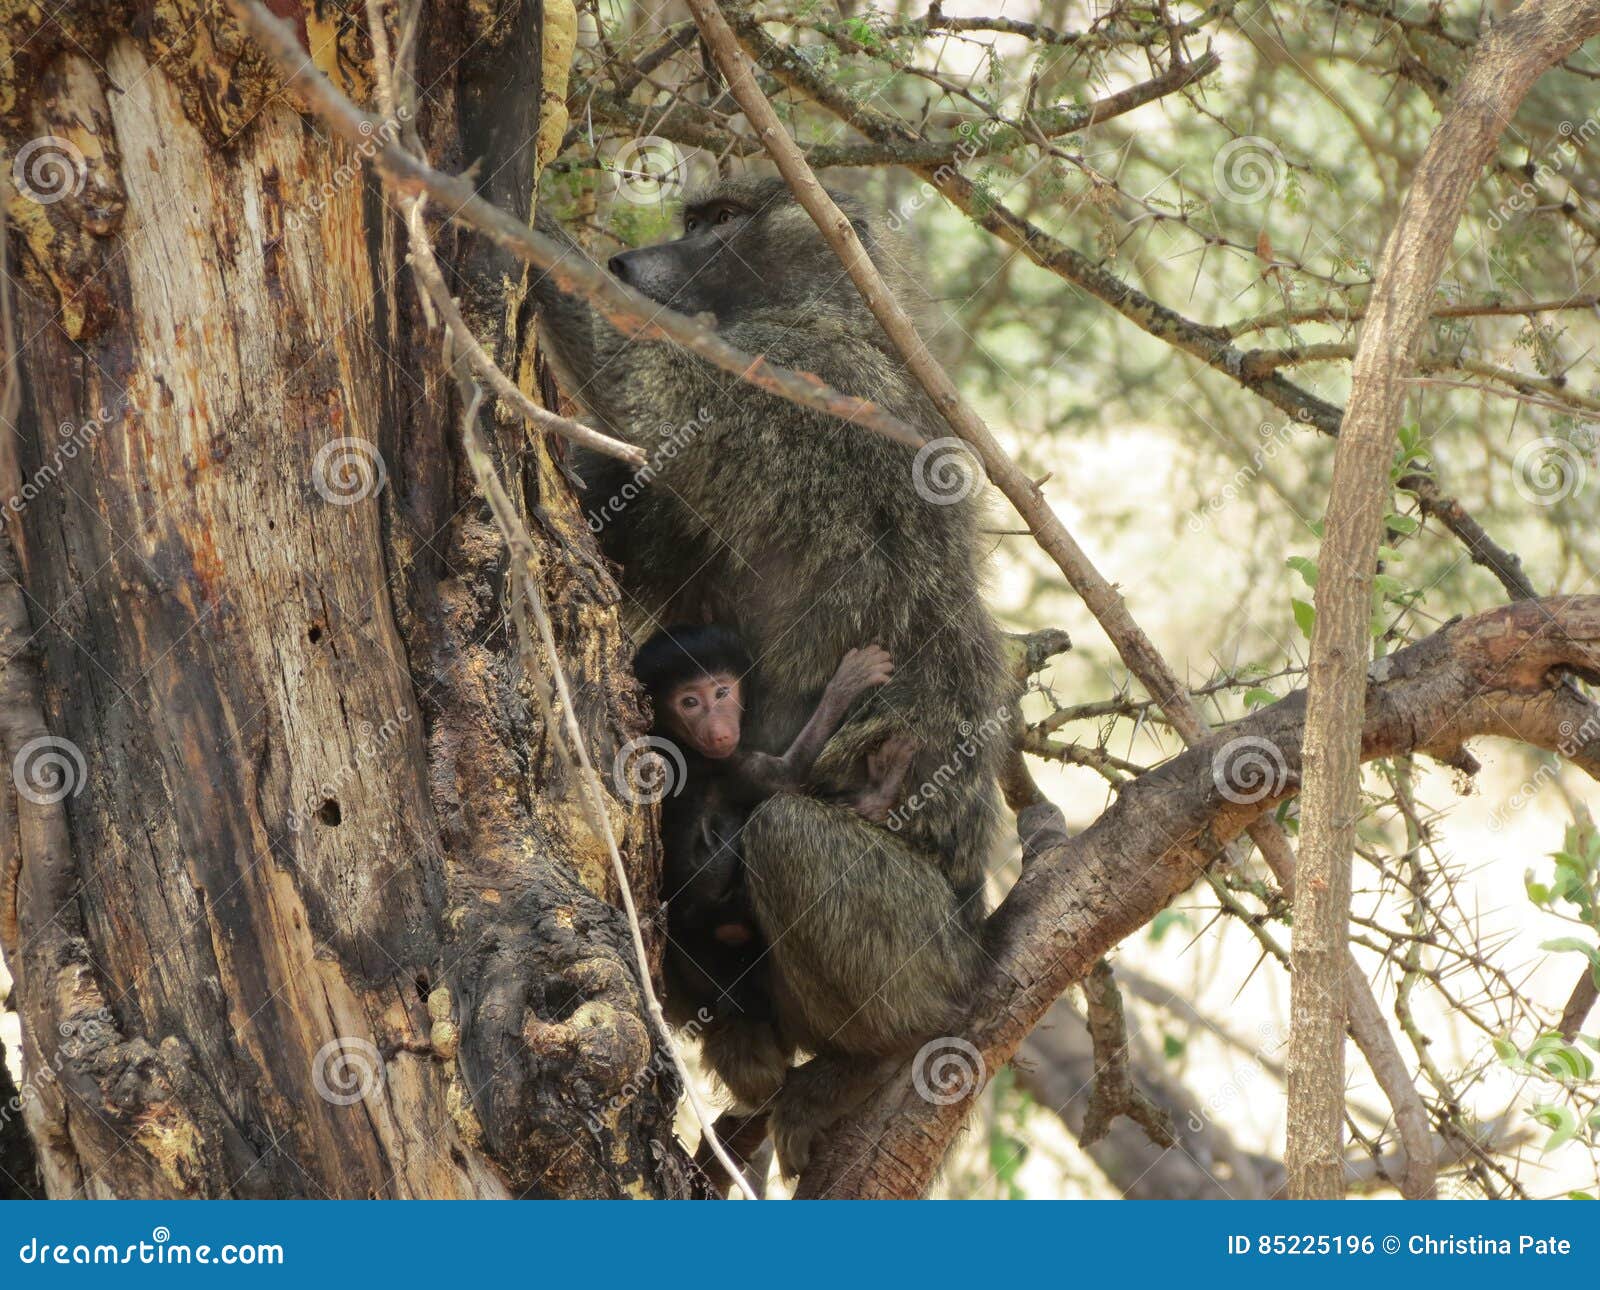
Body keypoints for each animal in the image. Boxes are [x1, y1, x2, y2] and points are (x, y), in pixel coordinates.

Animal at [532, 176, 1015, 1176]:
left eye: (721, 222)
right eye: (691, 217)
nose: (626, 262)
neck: (836, 304)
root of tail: (976, 943)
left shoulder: (804, 370)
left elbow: (653, 385)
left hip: (929, 958)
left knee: (789, 837)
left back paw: (862, 1068)